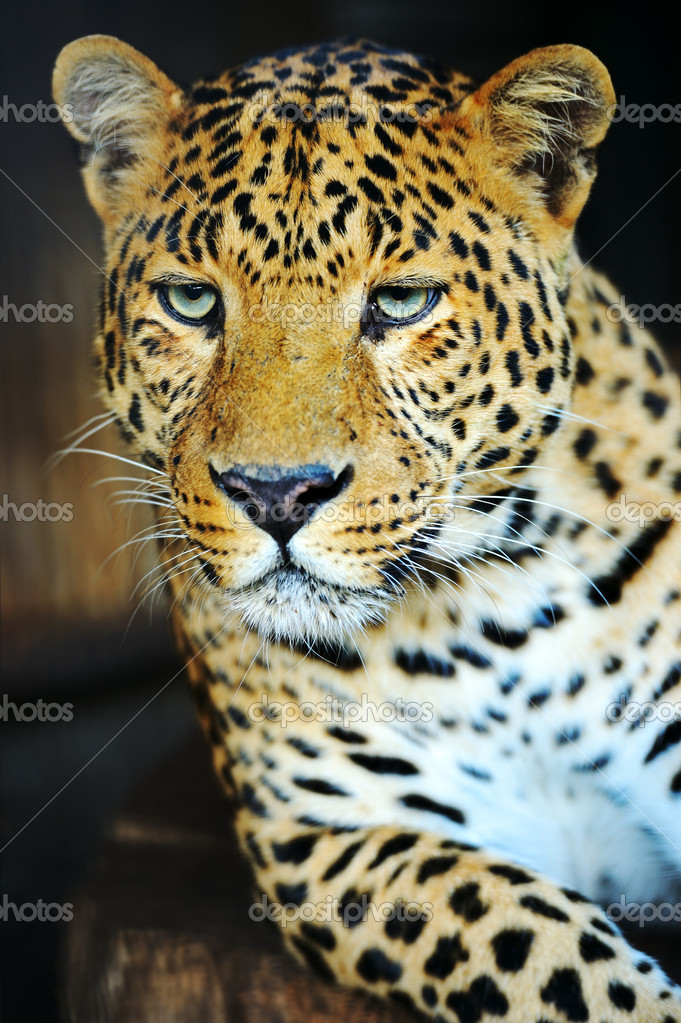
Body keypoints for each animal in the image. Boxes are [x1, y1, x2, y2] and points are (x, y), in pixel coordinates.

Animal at [53, 33, 681, 1022]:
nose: (276, 493)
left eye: (402, 302)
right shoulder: (329, 836)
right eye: (192, 302)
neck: (485, 604)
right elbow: (548, 951)